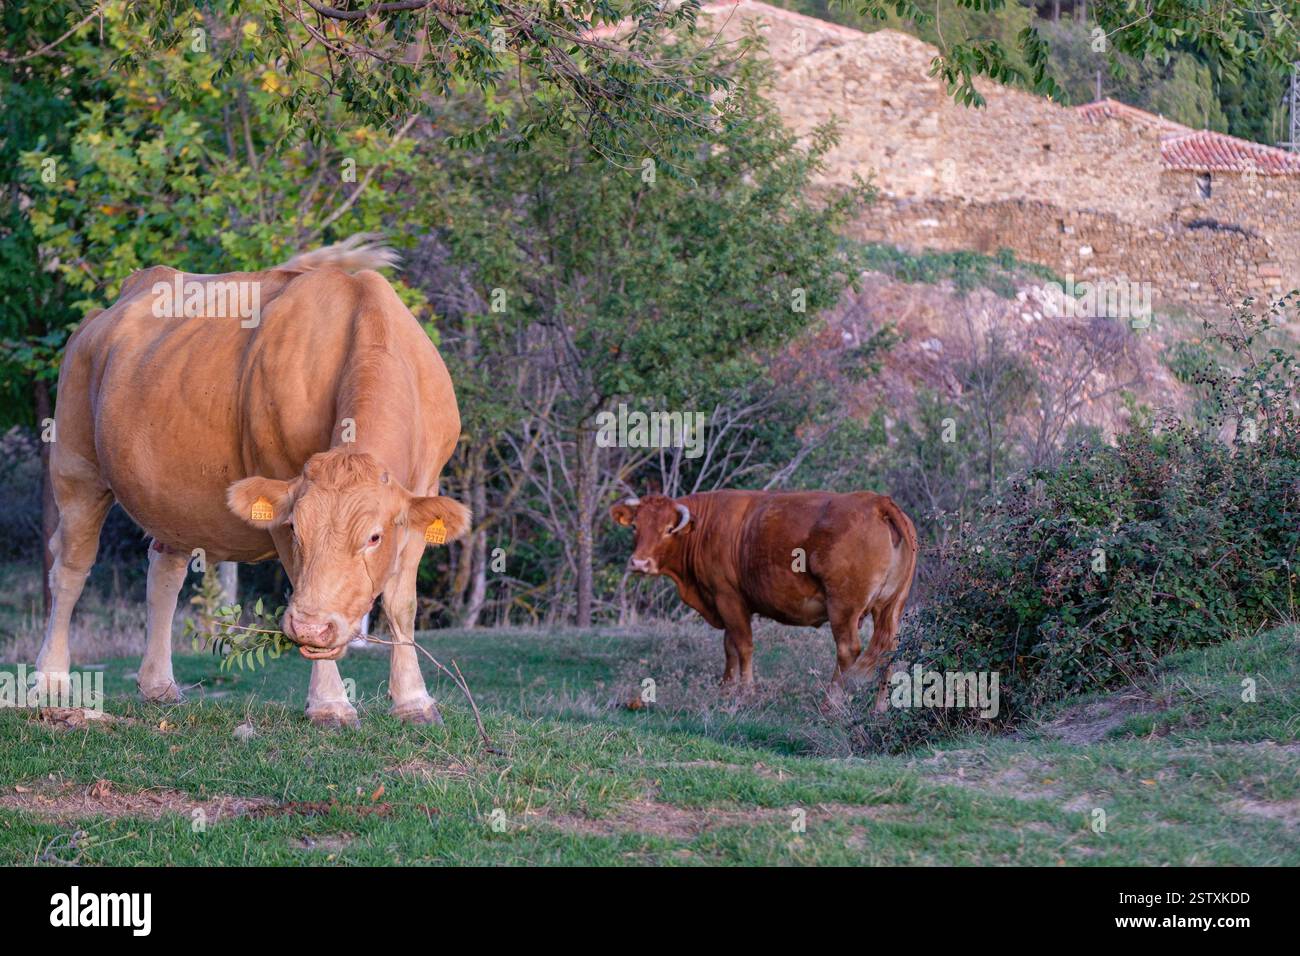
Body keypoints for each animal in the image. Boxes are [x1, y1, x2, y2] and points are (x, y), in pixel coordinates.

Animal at [34, 236, 470, 727]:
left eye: (375, 537)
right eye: (298, 529)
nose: (313, 625)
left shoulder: (425, 490)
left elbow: (401, 604)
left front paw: (414, 701)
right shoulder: (280, 489)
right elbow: (303, 584)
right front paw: (330, 703)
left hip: (171, 496)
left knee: (164, 572)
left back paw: (159, 685)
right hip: (75, 467)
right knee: (69, 568)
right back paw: (52, 679)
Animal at [610, 490, 917, 706]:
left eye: (667, 529)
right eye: (636, 527)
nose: (639, 563)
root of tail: (876, 502)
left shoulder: (727, 596)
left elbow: (743, 646)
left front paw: (746, 692)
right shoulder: (728, 602)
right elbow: (730, 647)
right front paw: (725, 689)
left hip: (843, 606)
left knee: (847, 650)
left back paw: (830, 706)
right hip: (891, 607)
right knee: (887, 650)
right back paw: (879, 710)